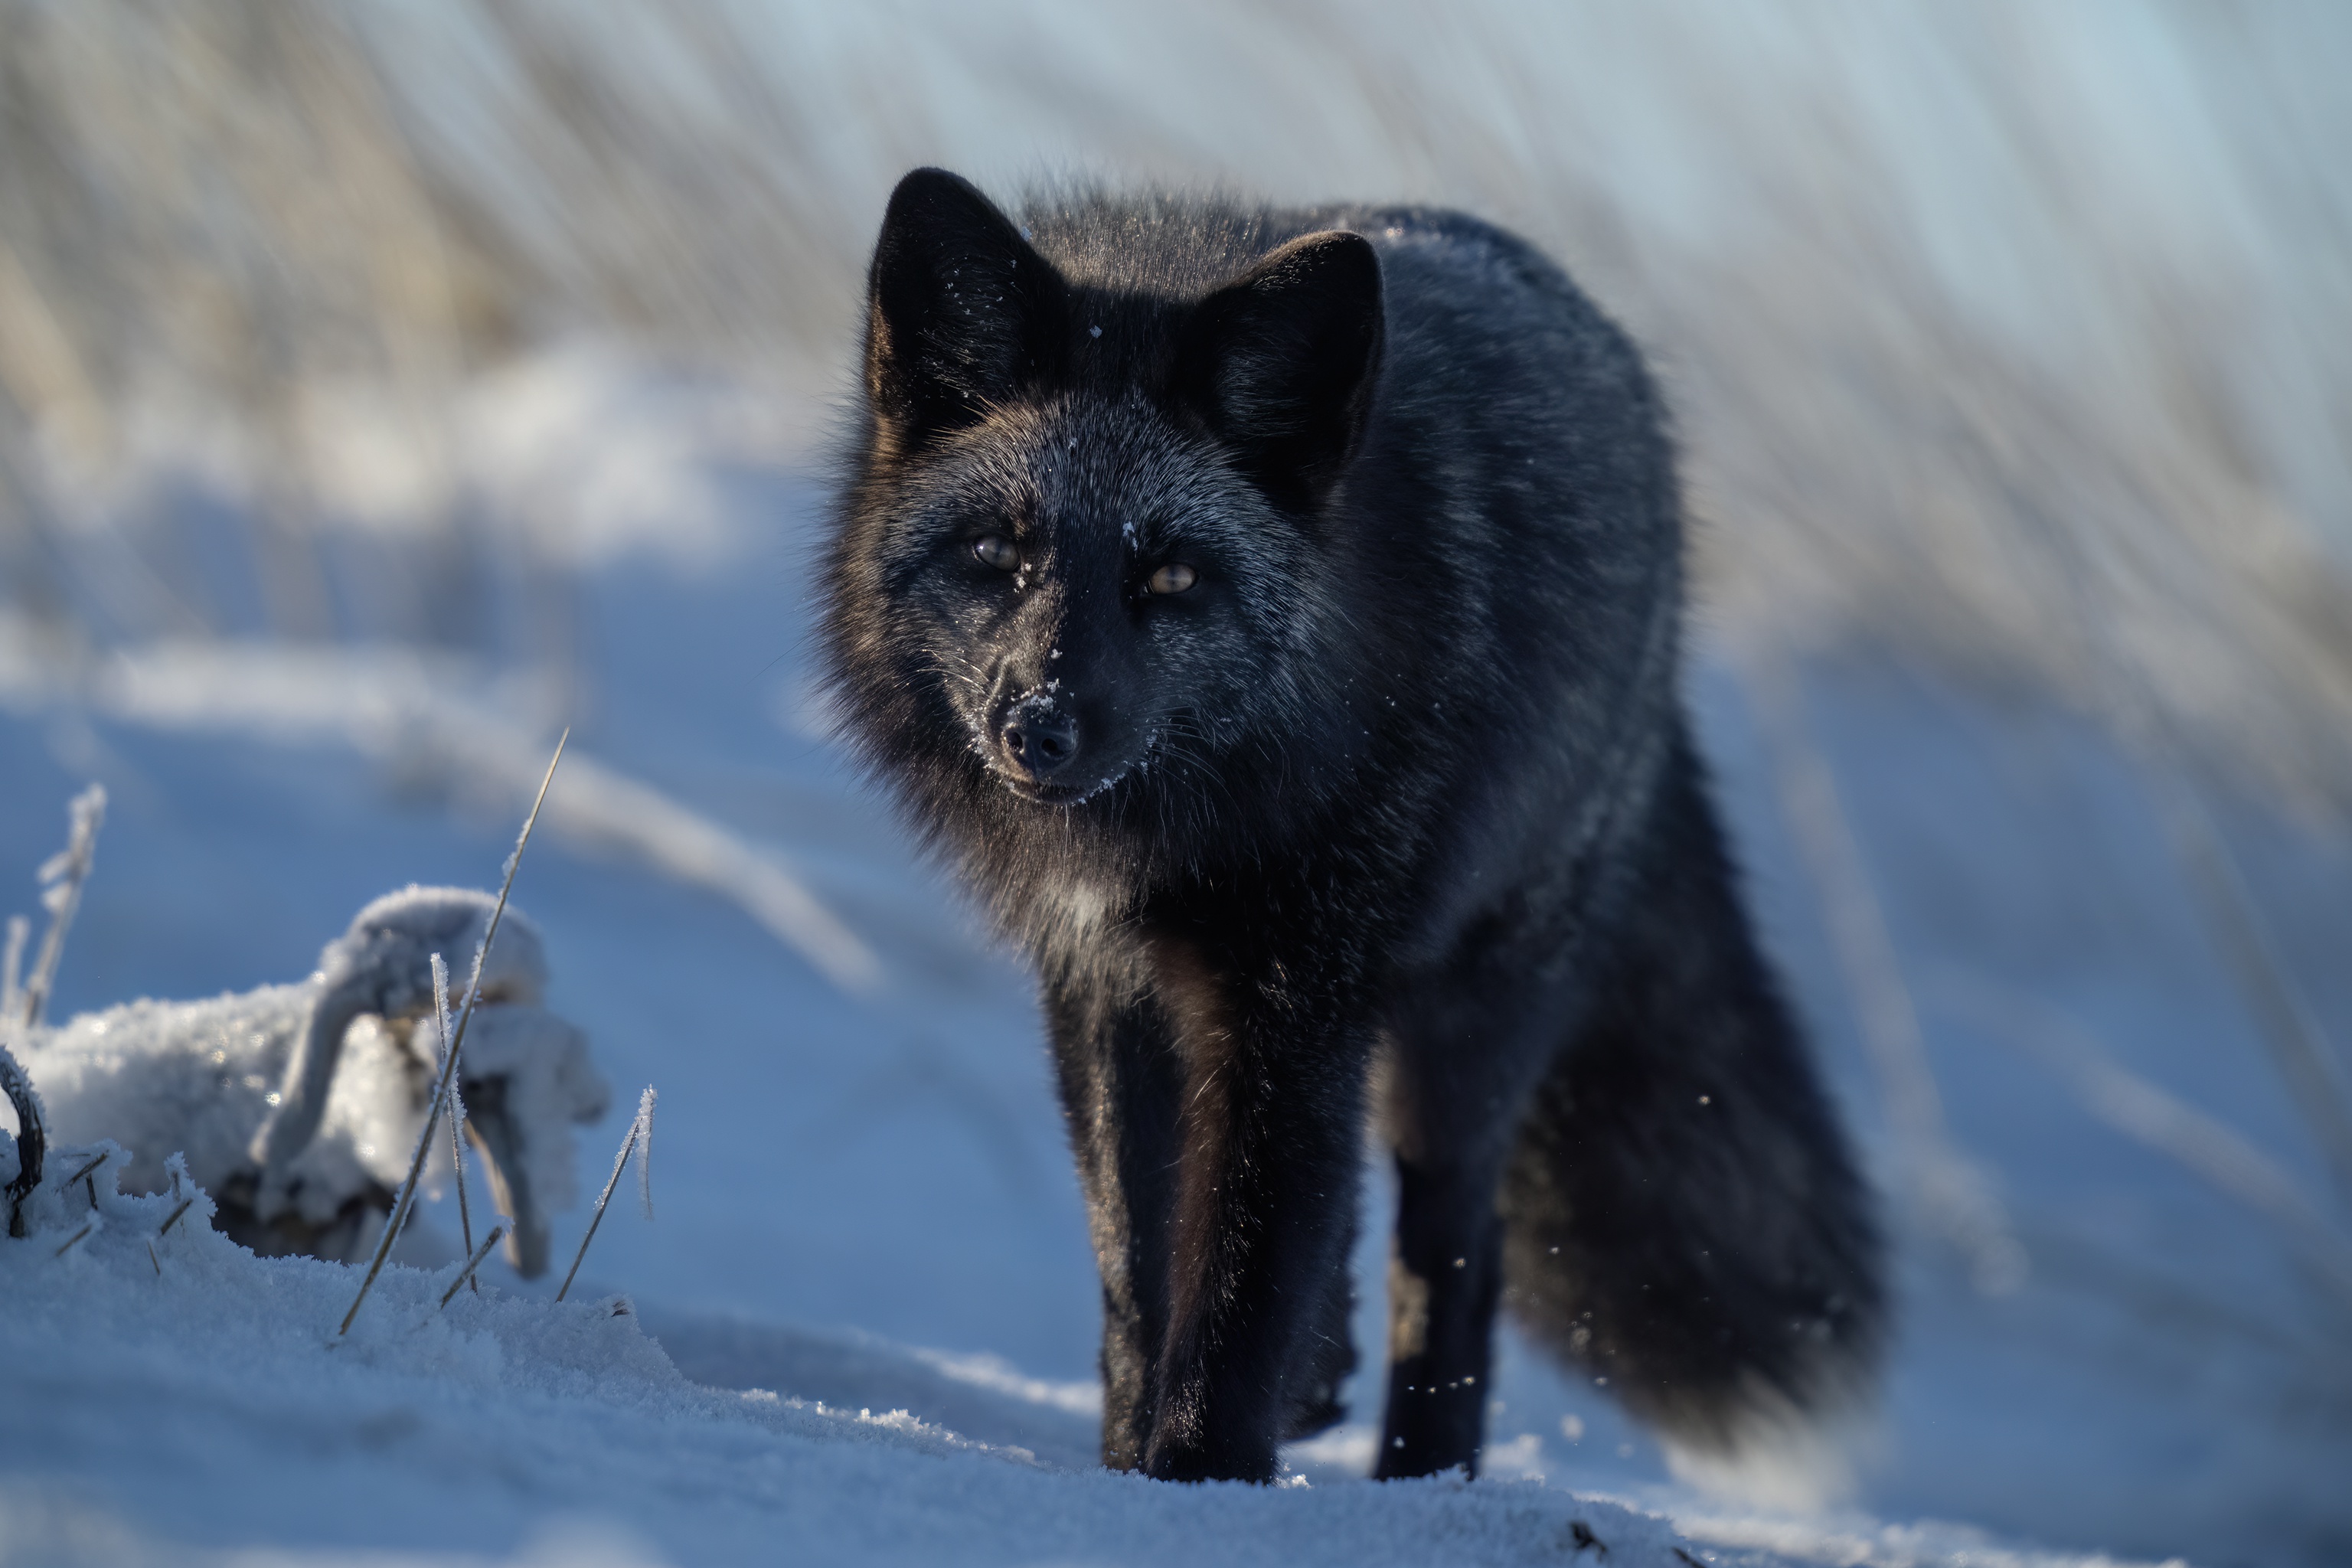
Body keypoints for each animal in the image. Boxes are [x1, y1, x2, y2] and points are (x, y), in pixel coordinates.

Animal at [819, 168, 1883, 1485]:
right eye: (994, 555)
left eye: (1172, 579)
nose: (1041, 728)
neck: (1187, 828)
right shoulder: (1104, 986)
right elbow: (1139, 1272)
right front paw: (1127, 1471)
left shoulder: (1298, 1003)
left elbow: (1239, 1293)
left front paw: (1199, 1479)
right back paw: (1328, 1388)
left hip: (1467, 1038)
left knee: (1456, 1257)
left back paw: (1426, 1480)